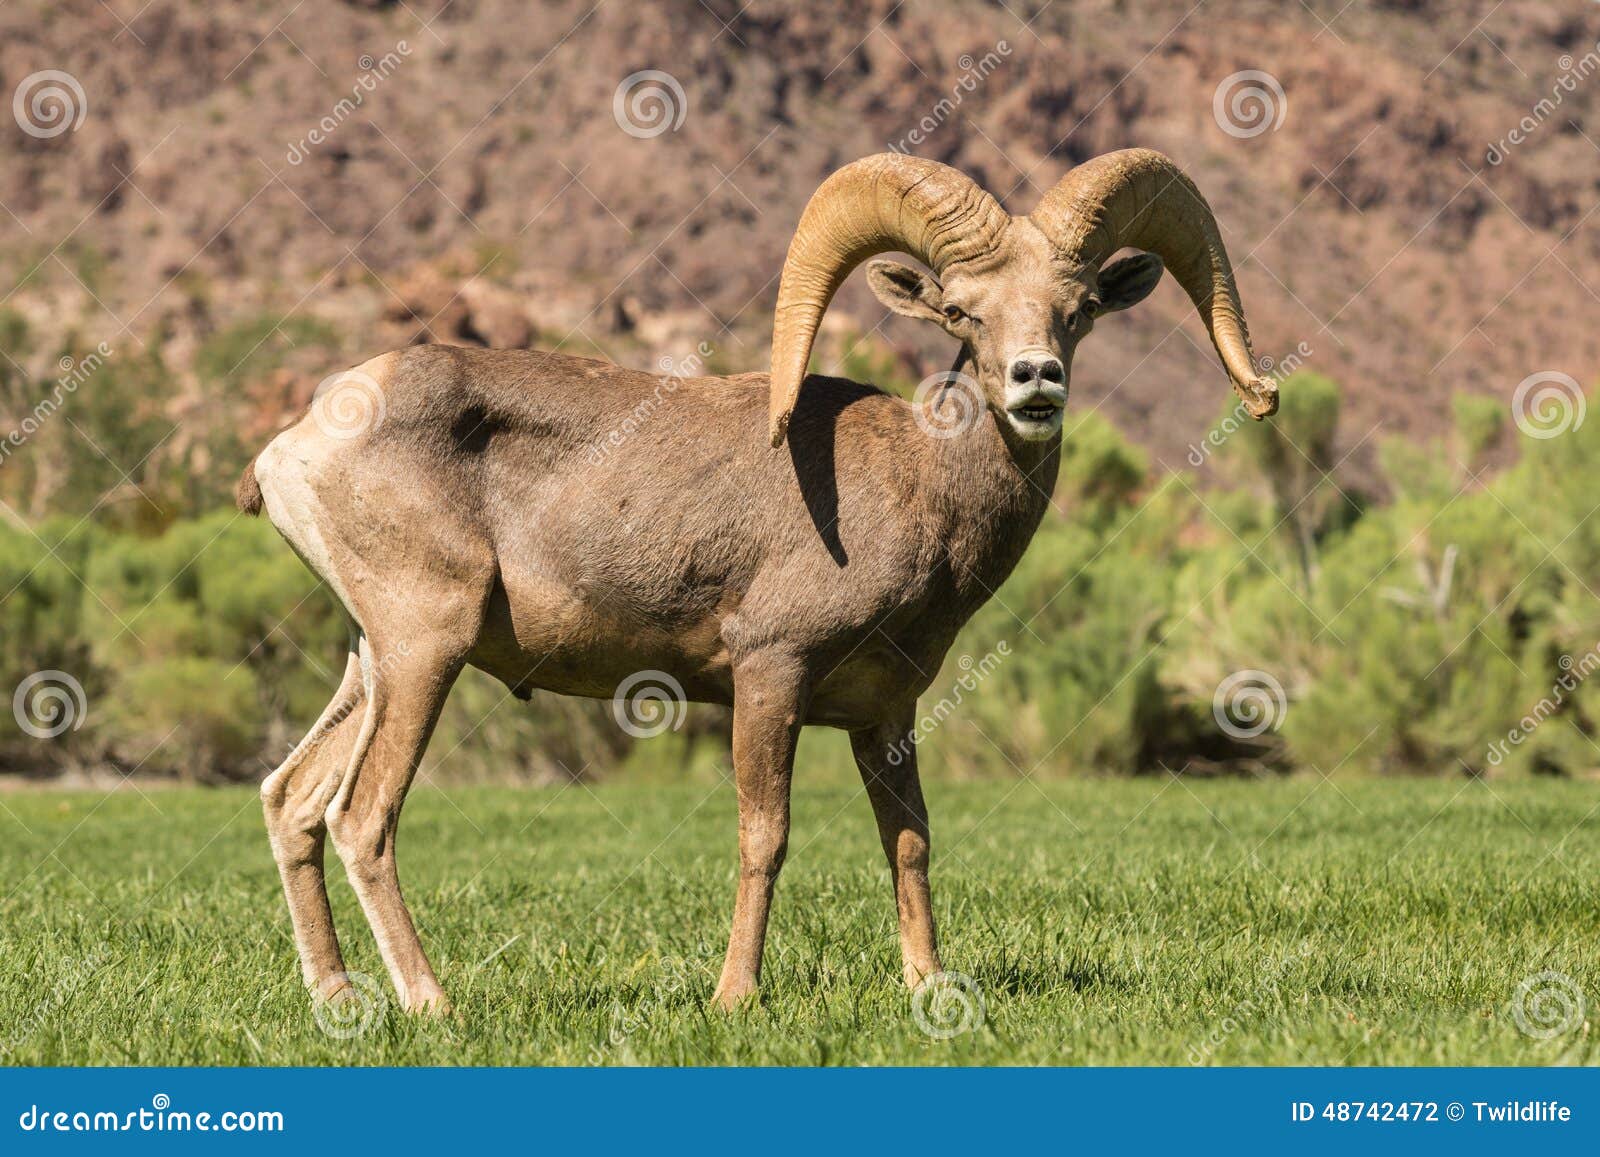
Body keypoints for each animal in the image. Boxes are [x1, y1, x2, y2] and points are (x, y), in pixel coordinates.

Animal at [238, 148, 1277, 1015]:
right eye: (962, 312)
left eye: (1080, 309)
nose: (1036, 381)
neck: (913, 483)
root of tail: (295, 446)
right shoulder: (770, 676)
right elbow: (764, 836)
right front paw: (736, 996)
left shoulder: (884, 715)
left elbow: (909, 839)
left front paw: (930, 989)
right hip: (425, 650)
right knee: (362, 818)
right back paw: (431, 1004)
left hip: (372, 661)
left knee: (293, 800)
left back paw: (339, 1000)